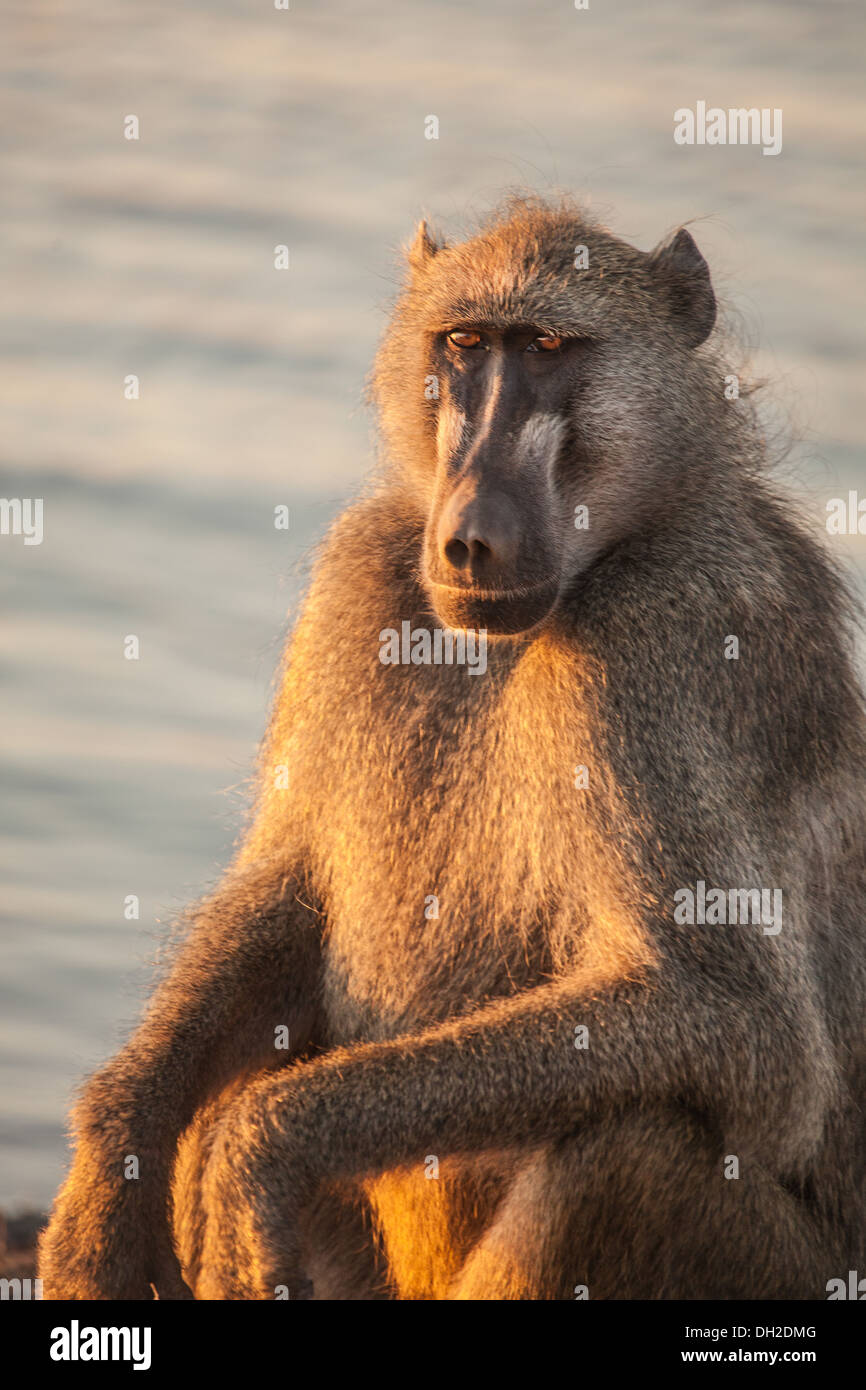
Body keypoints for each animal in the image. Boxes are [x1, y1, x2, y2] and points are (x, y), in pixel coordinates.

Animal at [39, 196, 866, 1300]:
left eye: (550, 348)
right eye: (465, 346)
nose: (471, 537)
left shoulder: (663, 634)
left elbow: (735, 1019)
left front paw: (262, 1145)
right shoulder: (364, 569)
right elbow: (291, 883)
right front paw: (113, 1159)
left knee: (622, 1154)